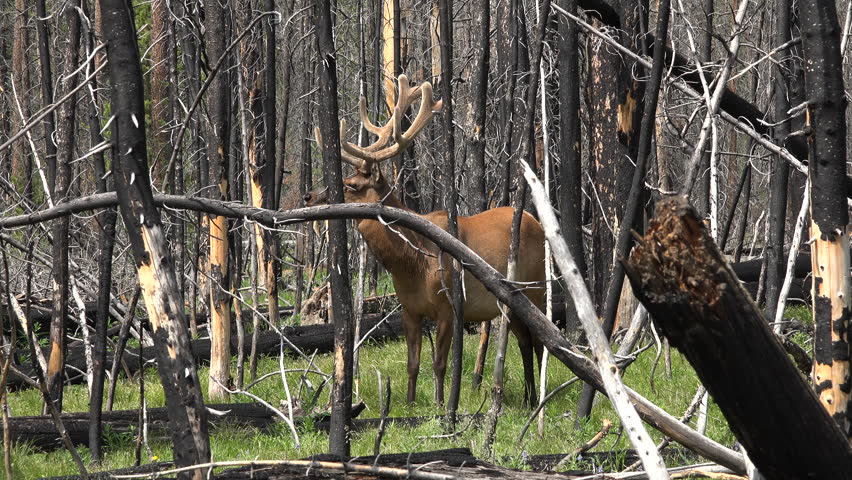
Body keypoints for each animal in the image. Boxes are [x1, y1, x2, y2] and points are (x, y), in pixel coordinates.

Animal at [305, 74, 546, 406]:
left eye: (351, 184)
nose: (309, 195)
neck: (411, 263)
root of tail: (537, 223)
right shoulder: (409, 310)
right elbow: (413, 362)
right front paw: (408, 403)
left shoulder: (448, 306)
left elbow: (440, 363)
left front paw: (441, 404)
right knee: (524, 341)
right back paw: (529, 398)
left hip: (537, 289)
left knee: (540, 343)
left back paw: (537, 397)